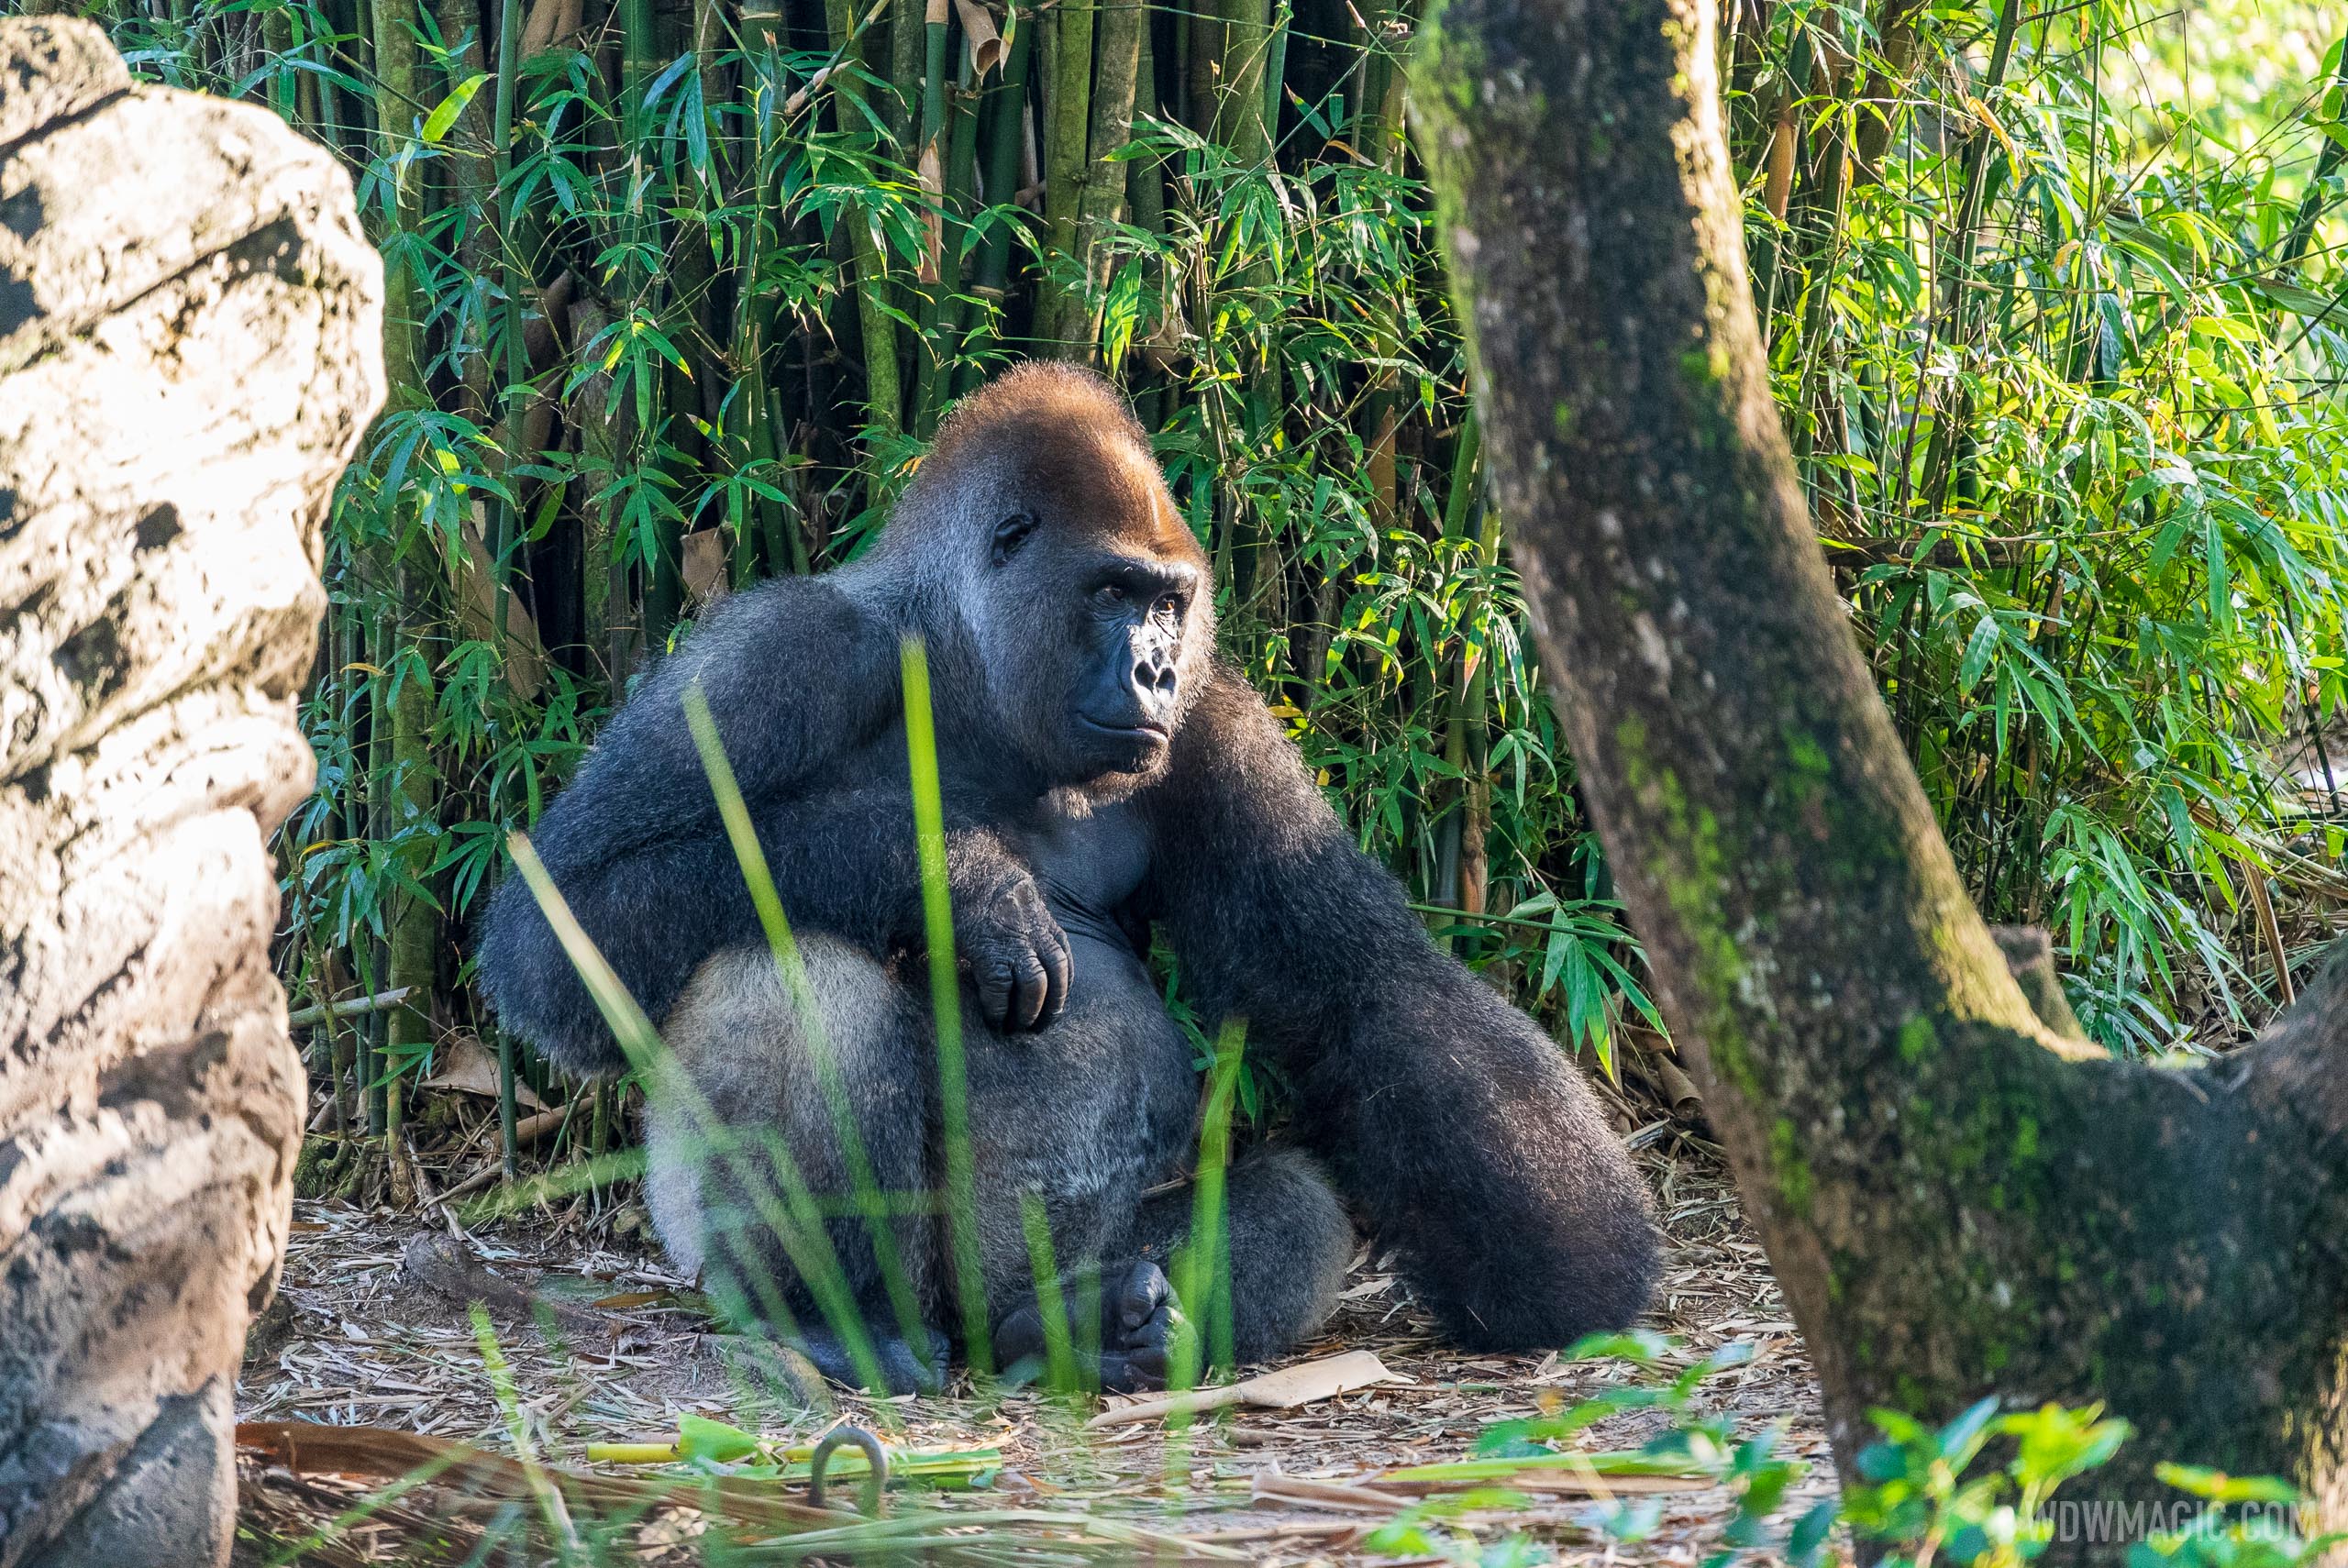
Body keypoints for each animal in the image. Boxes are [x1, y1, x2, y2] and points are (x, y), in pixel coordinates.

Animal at [476, 363, 1660, 1393]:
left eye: (1169, 603)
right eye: (1109, 591)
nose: (1154, 668)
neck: (958, 664)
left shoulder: (1213, 719)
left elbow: (1357, 983)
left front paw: (1560, 1255)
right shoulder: (781, 653)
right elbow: (560, 932)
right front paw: (953, 879)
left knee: (1294, 1204)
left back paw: (1075, 1332)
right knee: (782, 957)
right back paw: (838, 1323)